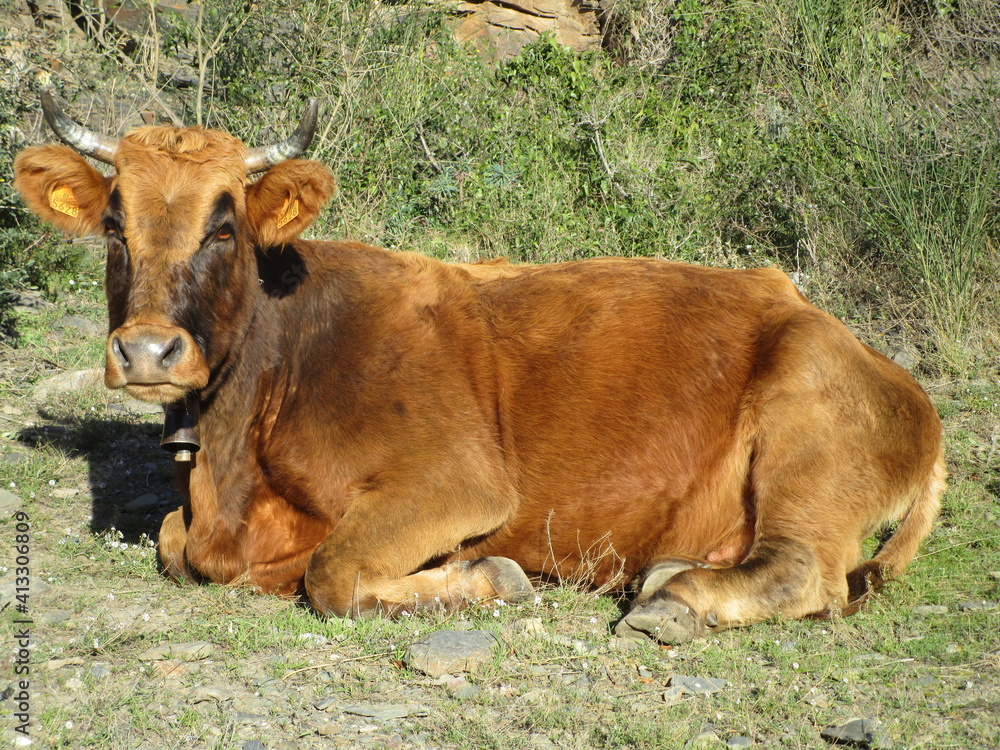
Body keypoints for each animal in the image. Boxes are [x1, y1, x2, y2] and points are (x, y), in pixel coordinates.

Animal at [14, 89, 944, 643]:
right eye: (113, 225)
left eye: (224, 226)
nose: (148, 350)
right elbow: (173, 543)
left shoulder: (457, 482)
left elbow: (334, 573)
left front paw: (489, 577)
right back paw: (669, 572)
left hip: (805, 428)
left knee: (805, 568)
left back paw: (672, 602)